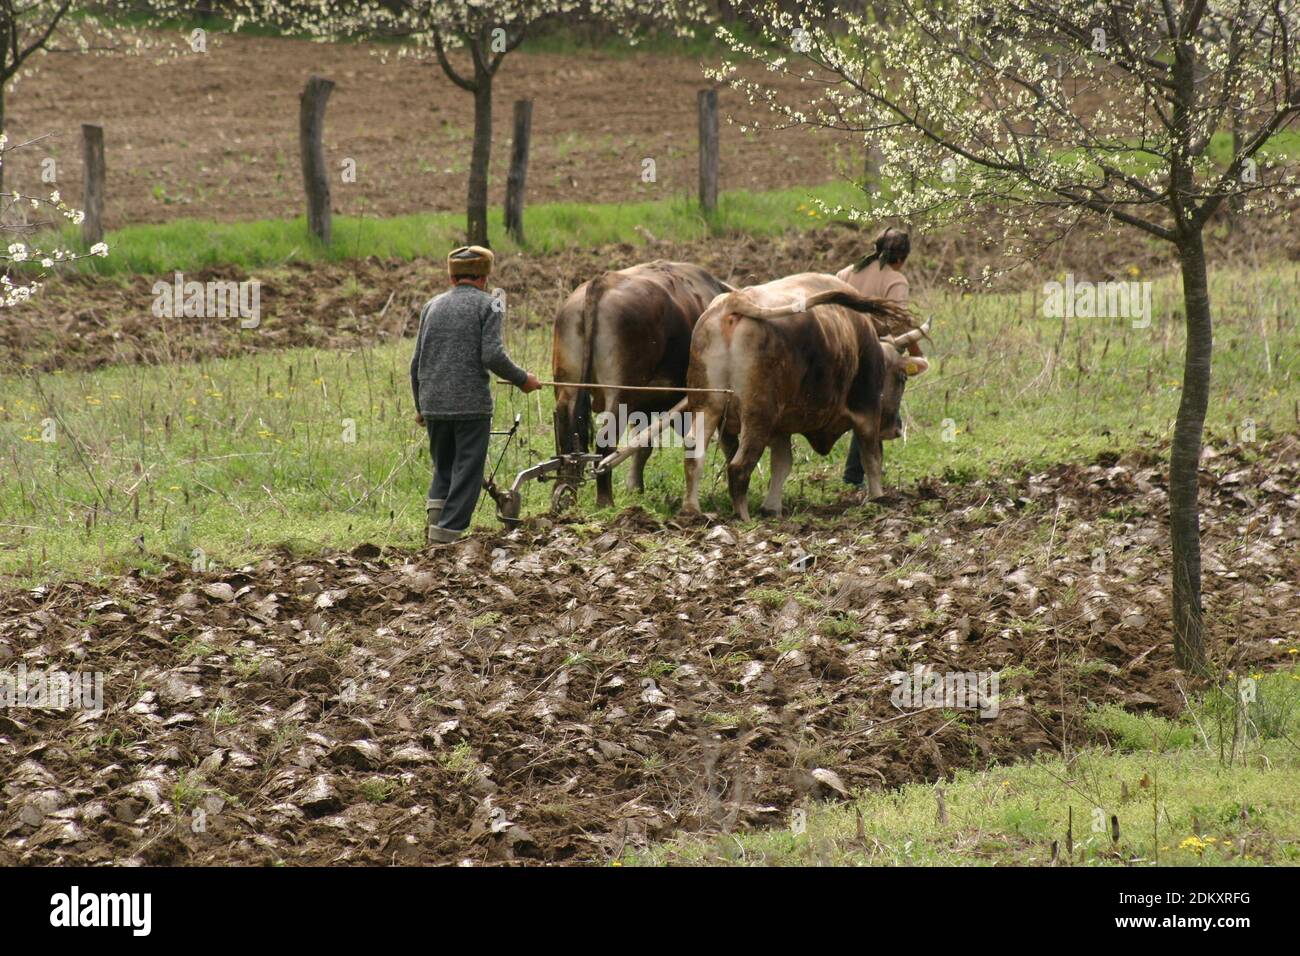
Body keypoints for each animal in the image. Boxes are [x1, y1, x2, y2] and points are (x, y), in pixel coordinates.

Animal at [552, 260, 732, 508]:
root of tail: (602, 282)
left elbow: (642, 447)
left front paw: (634, 487)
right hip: (618, 395)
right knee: (605, 445)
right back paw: (605, 500)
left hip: (567, 388)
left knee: (566, 438)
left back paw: (565, 490)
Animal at [681, 272, 930, 520]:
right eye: (902, 378)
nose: (896, 429)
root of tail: (734, 301)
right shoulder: (867, 411)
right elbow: (872, 459)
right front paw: (878, 499)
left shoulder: (780, 428)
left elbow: (782, 465)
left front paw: (771, 508)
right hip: (757, 416)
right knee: (739, 466)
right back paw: (742, 516)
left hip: (708, 407)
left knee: (695, 453)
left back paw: (692, 511)